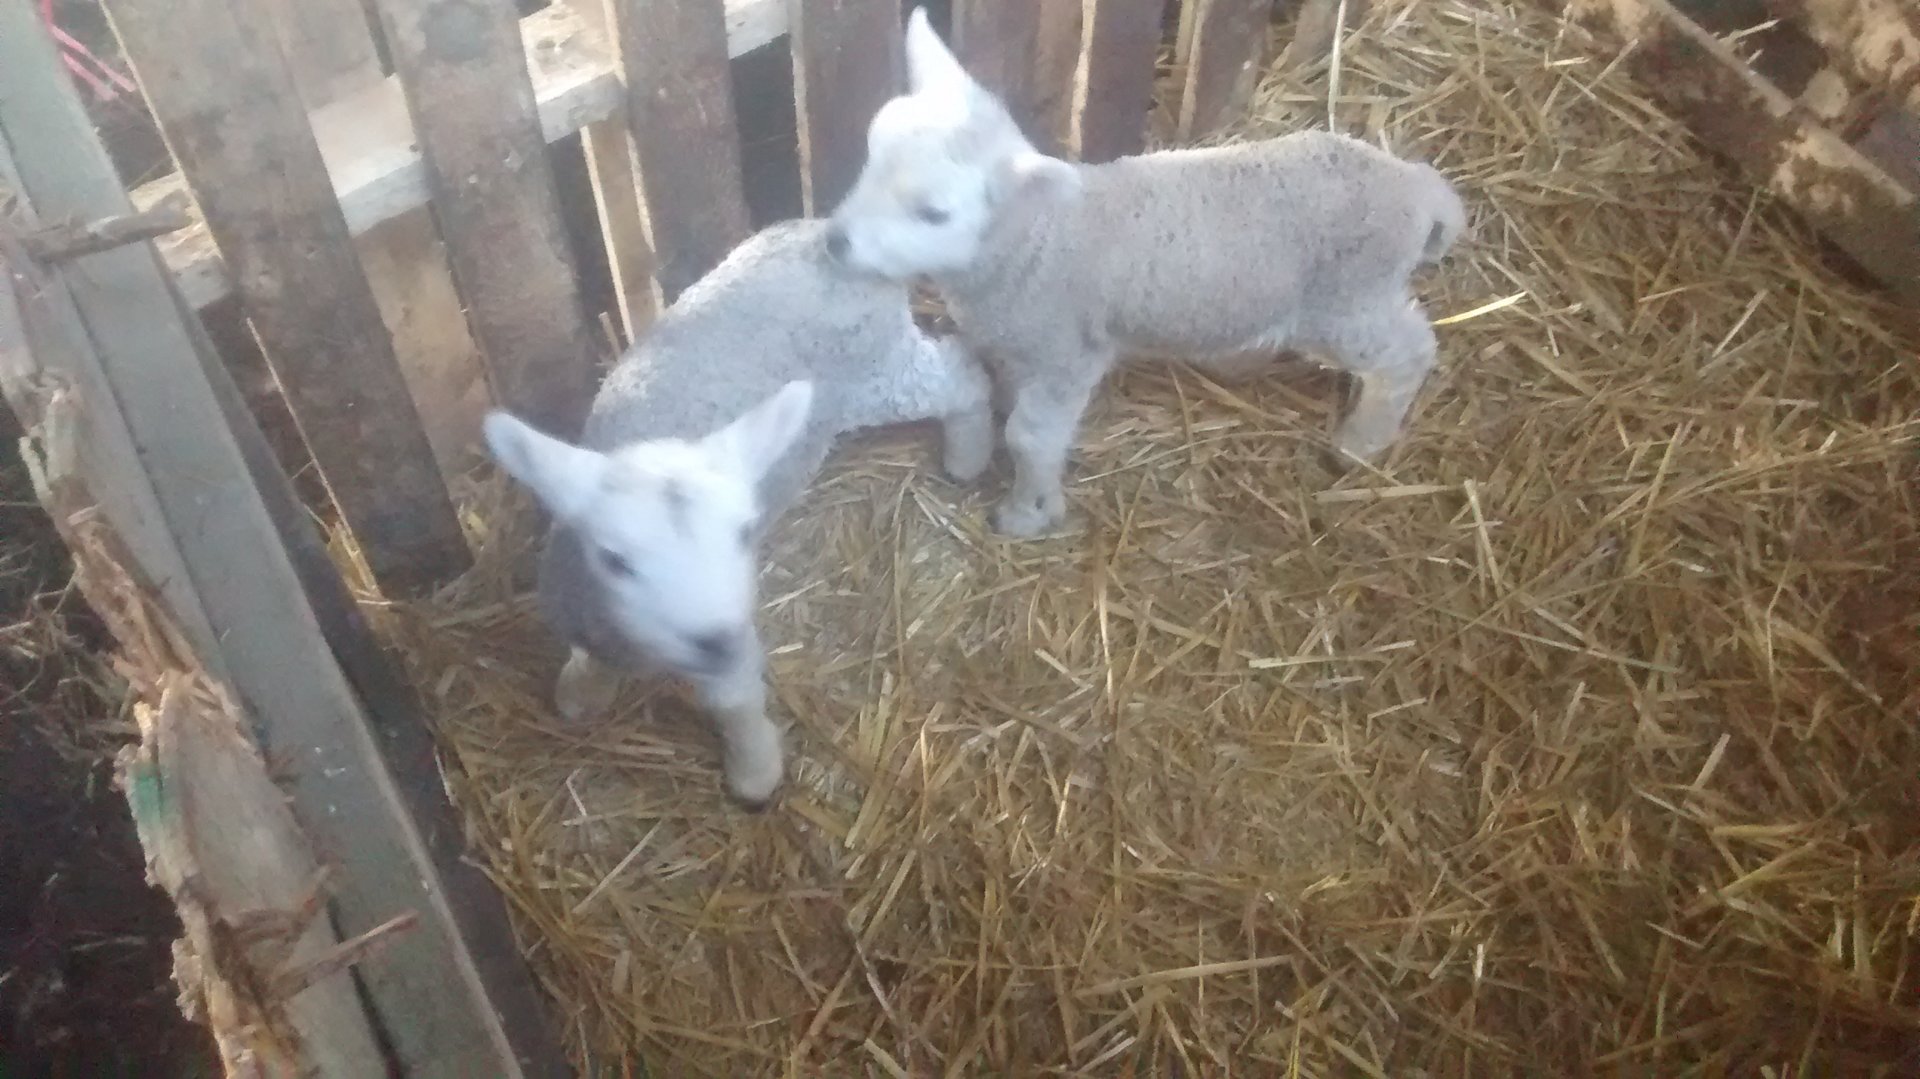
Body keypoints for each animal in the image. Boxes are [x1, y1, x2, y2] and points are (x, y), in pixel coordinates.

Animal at [484, 218, 995, 808]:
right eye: (614, 560)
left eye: (743, 535)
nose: (717, 639)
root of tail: (827, 233)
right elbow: (589, 657)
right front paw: (580, 694)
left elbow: (734, 705)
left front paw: (755, 773)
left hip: (879, 365)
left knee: (960, 370)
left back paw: (968, 454)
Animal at [825, 9, 1467, 537]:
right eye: (870, 156)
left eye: (934, 213)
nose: (833, 241)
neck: (1034, 239)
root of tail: (1415, 187)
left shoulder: (1069, 354)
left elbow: (1031, 435)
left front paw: (1029, 511)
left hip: (1347, 301)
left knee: (1410, 350)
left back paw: (1362, 441)